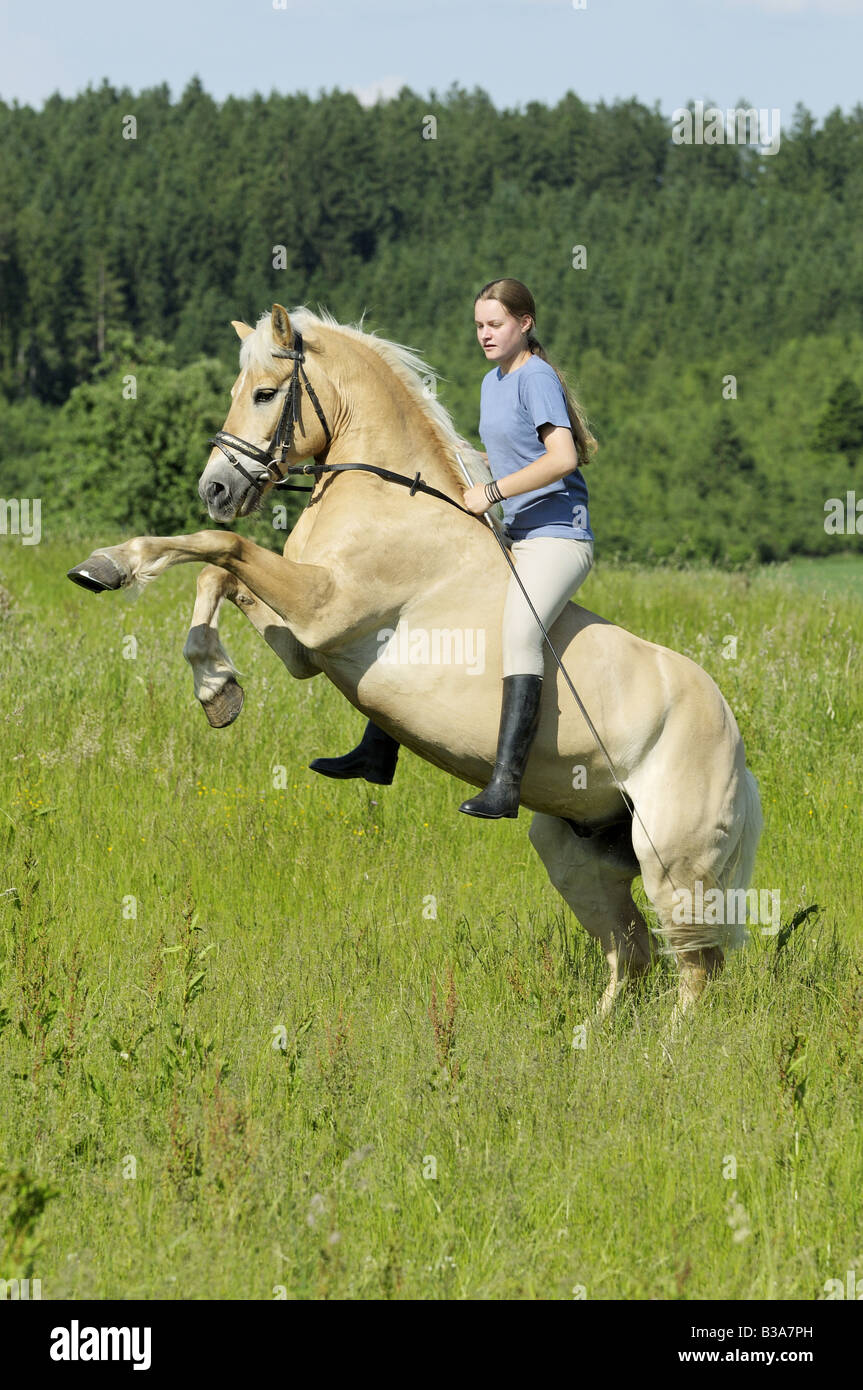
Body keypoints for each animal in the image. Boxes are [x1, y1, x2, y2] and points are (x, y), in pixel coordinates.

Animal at [68, 303, 763, 1019]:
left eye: (263, 394)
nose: (215, 487)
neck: (388, 500)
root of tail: (736, 747)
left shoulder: (323, 609)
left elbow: (220, 544)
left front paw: (113, 565)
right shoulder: (304, 644)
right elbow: (218, 571)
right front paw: (214, 685)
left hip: (672, 863)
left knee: (696, 967)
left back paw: (669, 1044)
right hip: (578, 852)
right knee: (632, 949)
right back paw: (594, 1036)